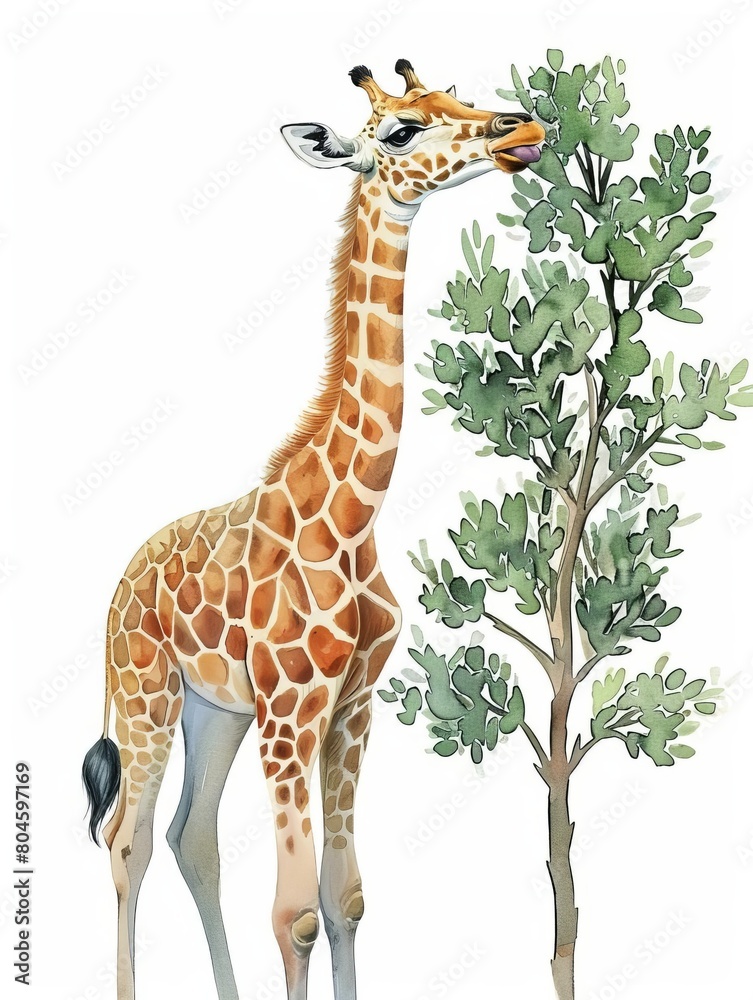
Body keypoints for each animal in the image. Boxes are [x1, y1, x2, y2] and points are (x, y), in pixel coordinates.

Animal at [82, 59, 545, 1000]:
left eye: (455, 97)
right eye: (401, 129)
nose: (518, 129)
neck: (352, 515)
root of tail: (117, 588)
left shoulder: (350, 706)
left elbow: (345, 901)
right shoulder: (295, 708)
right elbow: (293, 914)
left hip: (215, 711)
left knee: (190, 837)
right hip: (148, 698)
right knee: (127, 839)